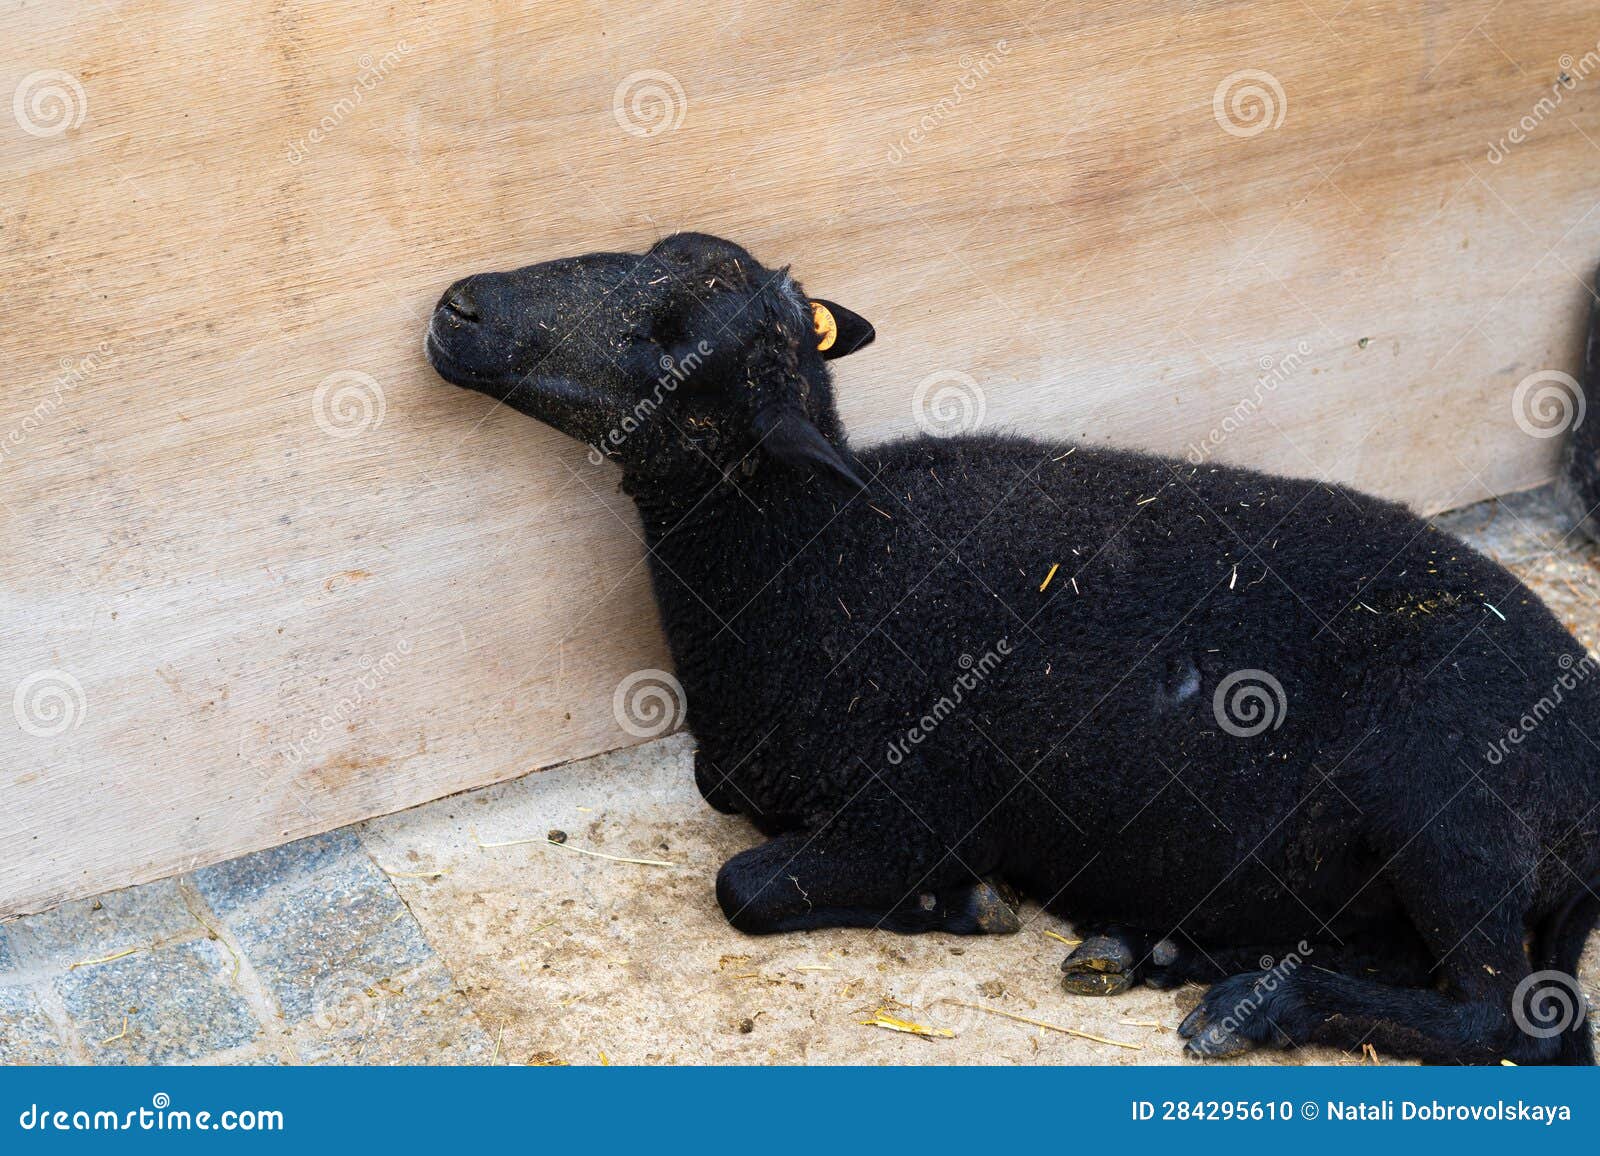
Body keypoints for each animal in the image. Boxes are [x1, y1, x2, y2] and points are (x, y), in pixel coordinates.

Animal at [426, 231, 1600, 1064]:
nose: (459, 308)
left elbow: (746, 886)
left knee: (1509, 1018)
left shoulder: (913, 808)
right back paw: (1163, 948)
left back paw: (1255, 1004)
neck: (821, 560)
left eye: (673, 341)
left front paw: (960, 903)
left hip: (1447, 807)